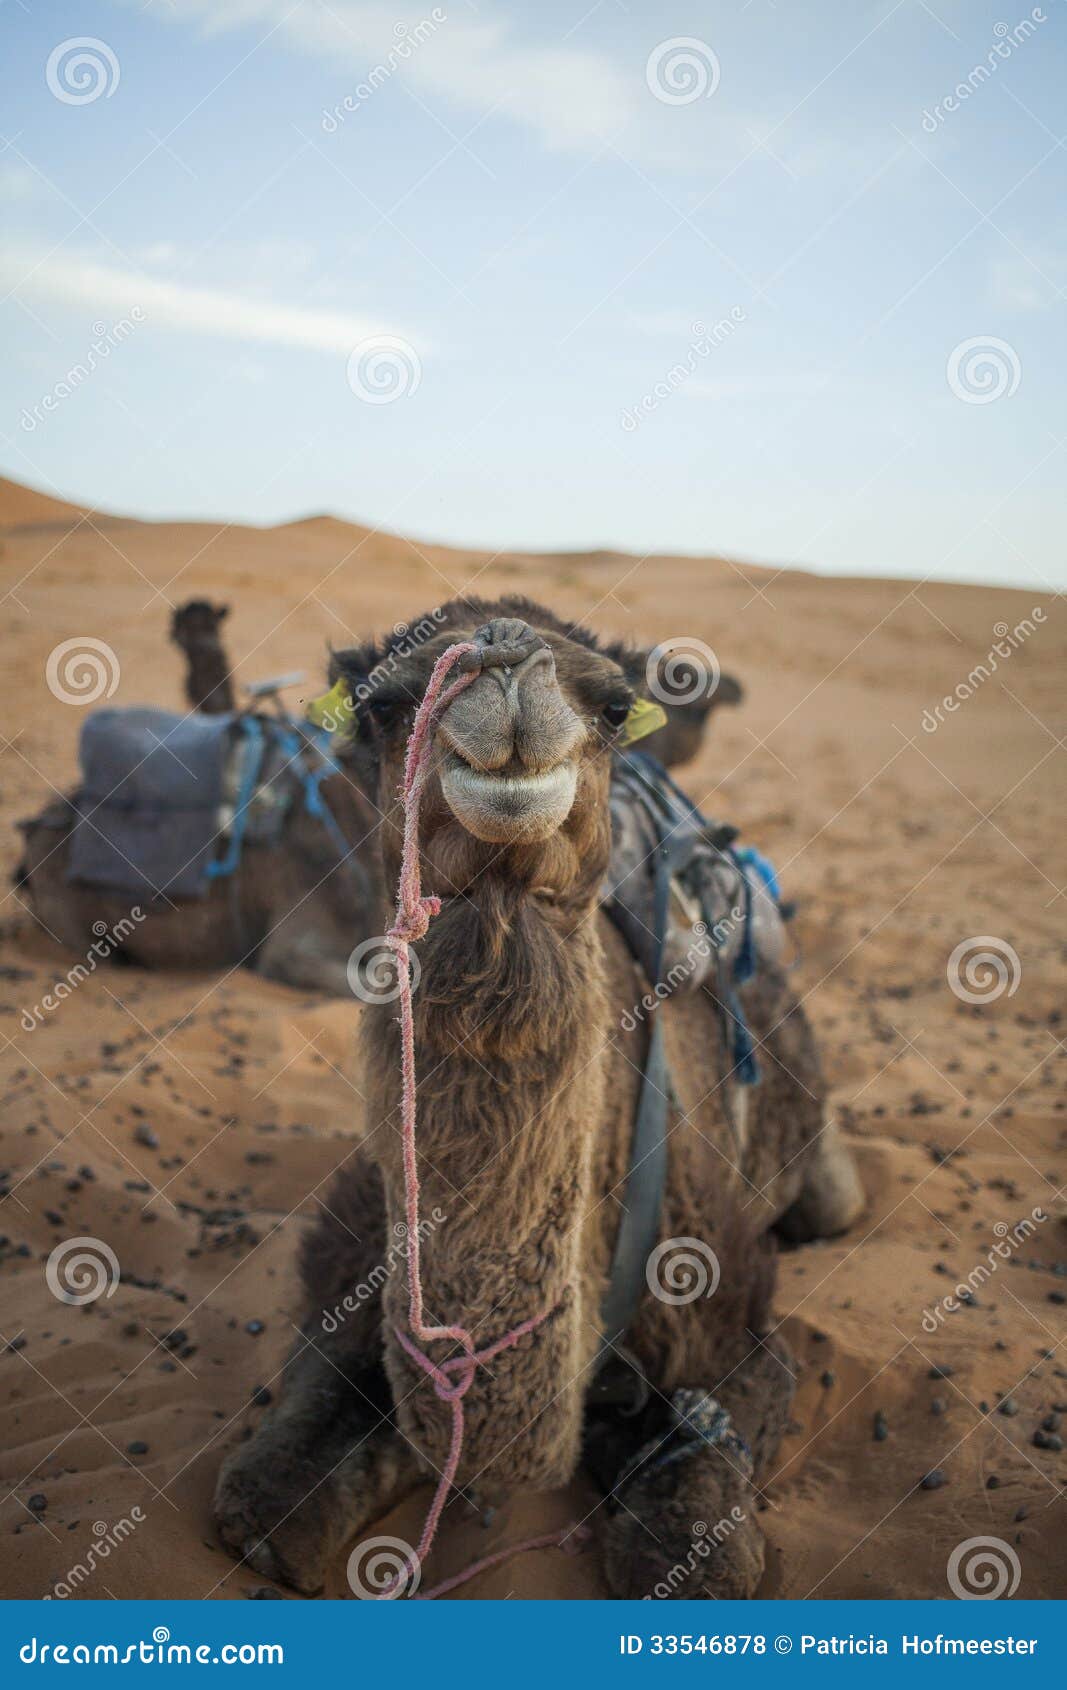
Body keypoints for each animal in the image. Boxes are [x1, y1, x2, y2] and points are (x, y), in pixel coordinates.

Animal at [212, 595, 863, 1600]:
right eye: (378, 706)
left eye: (614, 707)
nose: (504, 658)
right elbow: (266, 1507)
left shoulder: (737, 1331)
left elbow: (690, 1547)